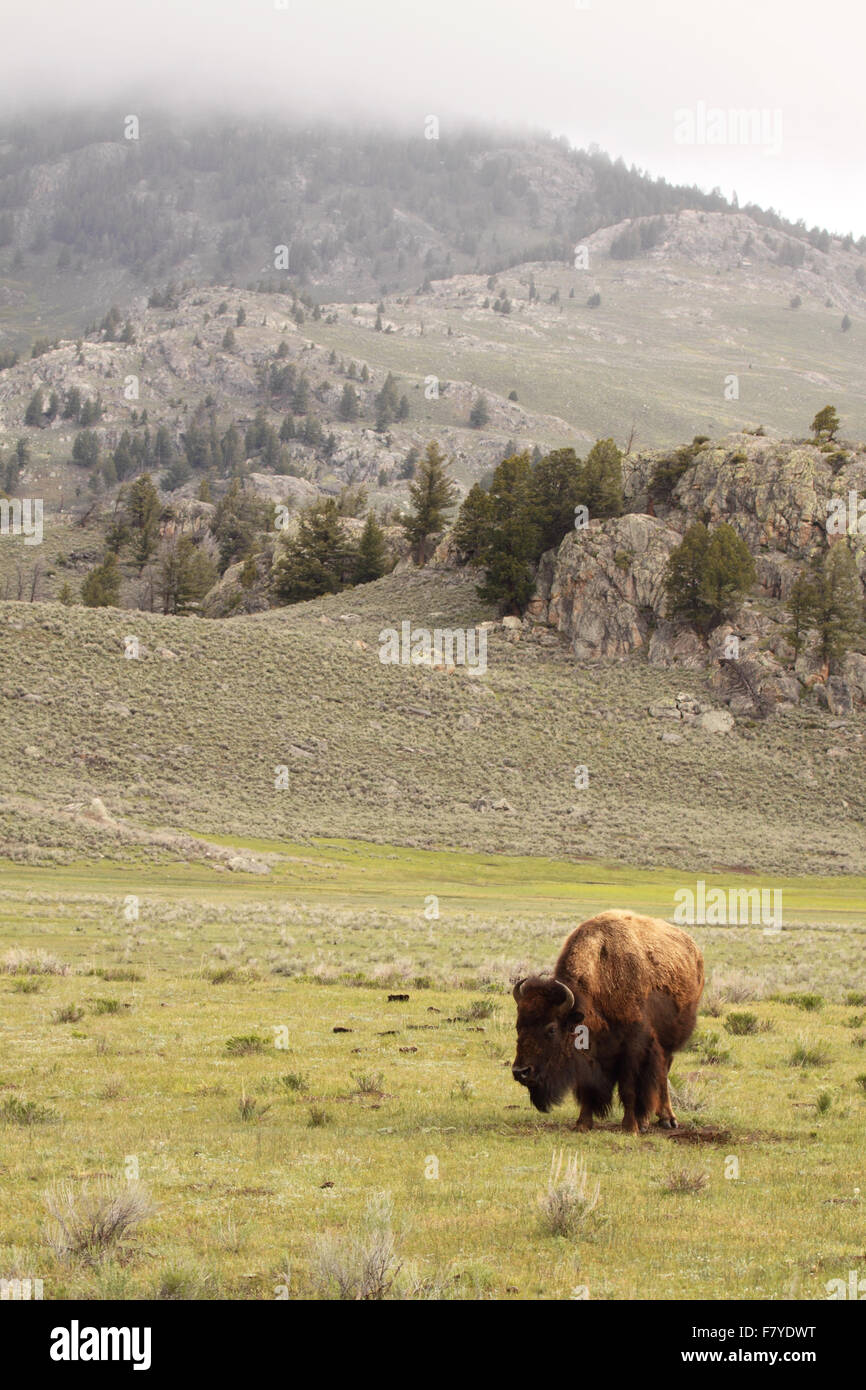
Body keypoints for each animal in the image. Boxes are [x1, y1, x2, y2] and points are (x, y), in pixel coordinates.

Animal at [511, 910, 704, 1134]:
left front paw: (630, 1128)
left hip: (669, 1043)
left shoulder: (633, 1049)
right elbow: (587, 1089)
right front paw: (582, 1124)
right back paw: (646, 1122)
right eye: (518, 1026)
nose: (521, 1072)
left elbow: (629, 1089)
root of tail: (694, 951)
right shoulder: (588, 1055)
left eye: (551, 1029)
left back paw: (666, 1119)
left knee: (662, 1075)